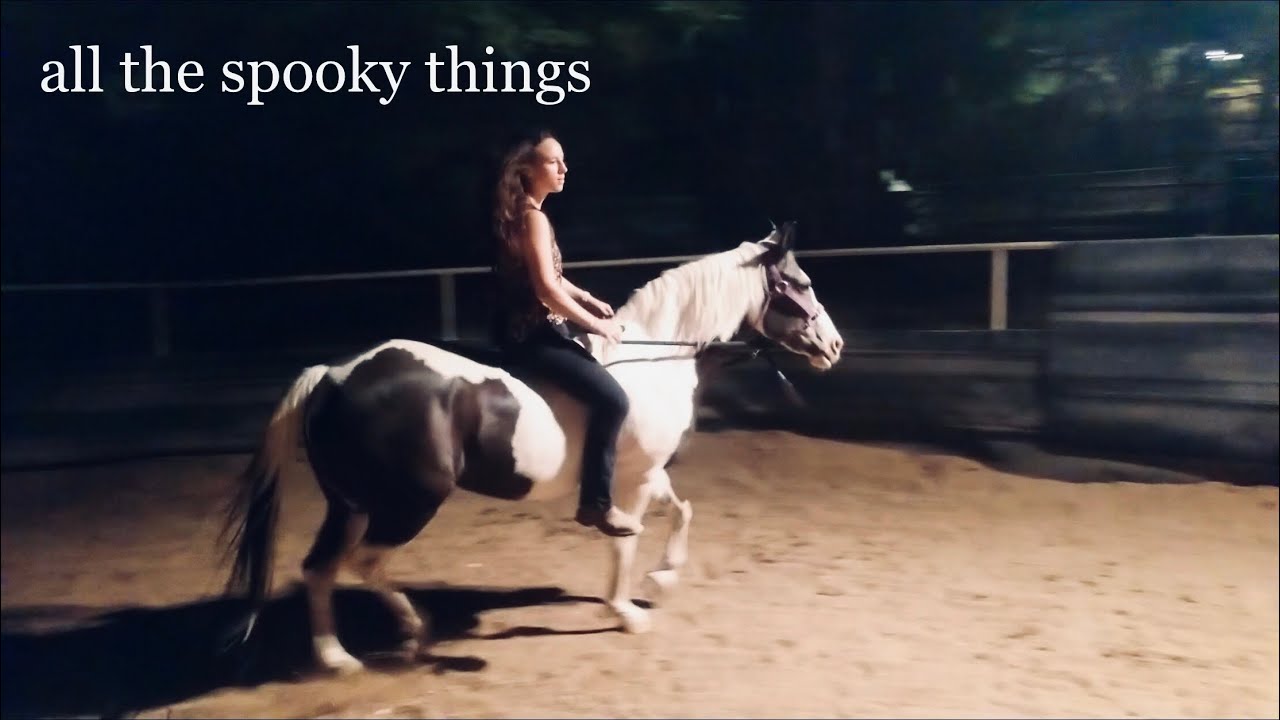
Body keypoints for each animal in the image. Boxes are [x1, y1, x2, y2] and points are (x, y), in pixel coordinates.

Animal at [219, 221, 845, 674]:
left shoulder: (644, 472)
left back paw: (336, 657)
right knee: (363, 562)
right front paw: (626, 611)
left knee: (319, 569)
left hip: (350, 502)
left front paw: (661, 581)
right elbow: (626, 539)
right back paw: (413, 633)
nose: (833, 346)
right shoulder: (632, 480)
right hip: (409, 501)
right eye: (801, 284)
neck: (653, 362)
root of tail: (333, 375)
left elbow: (681, 512)